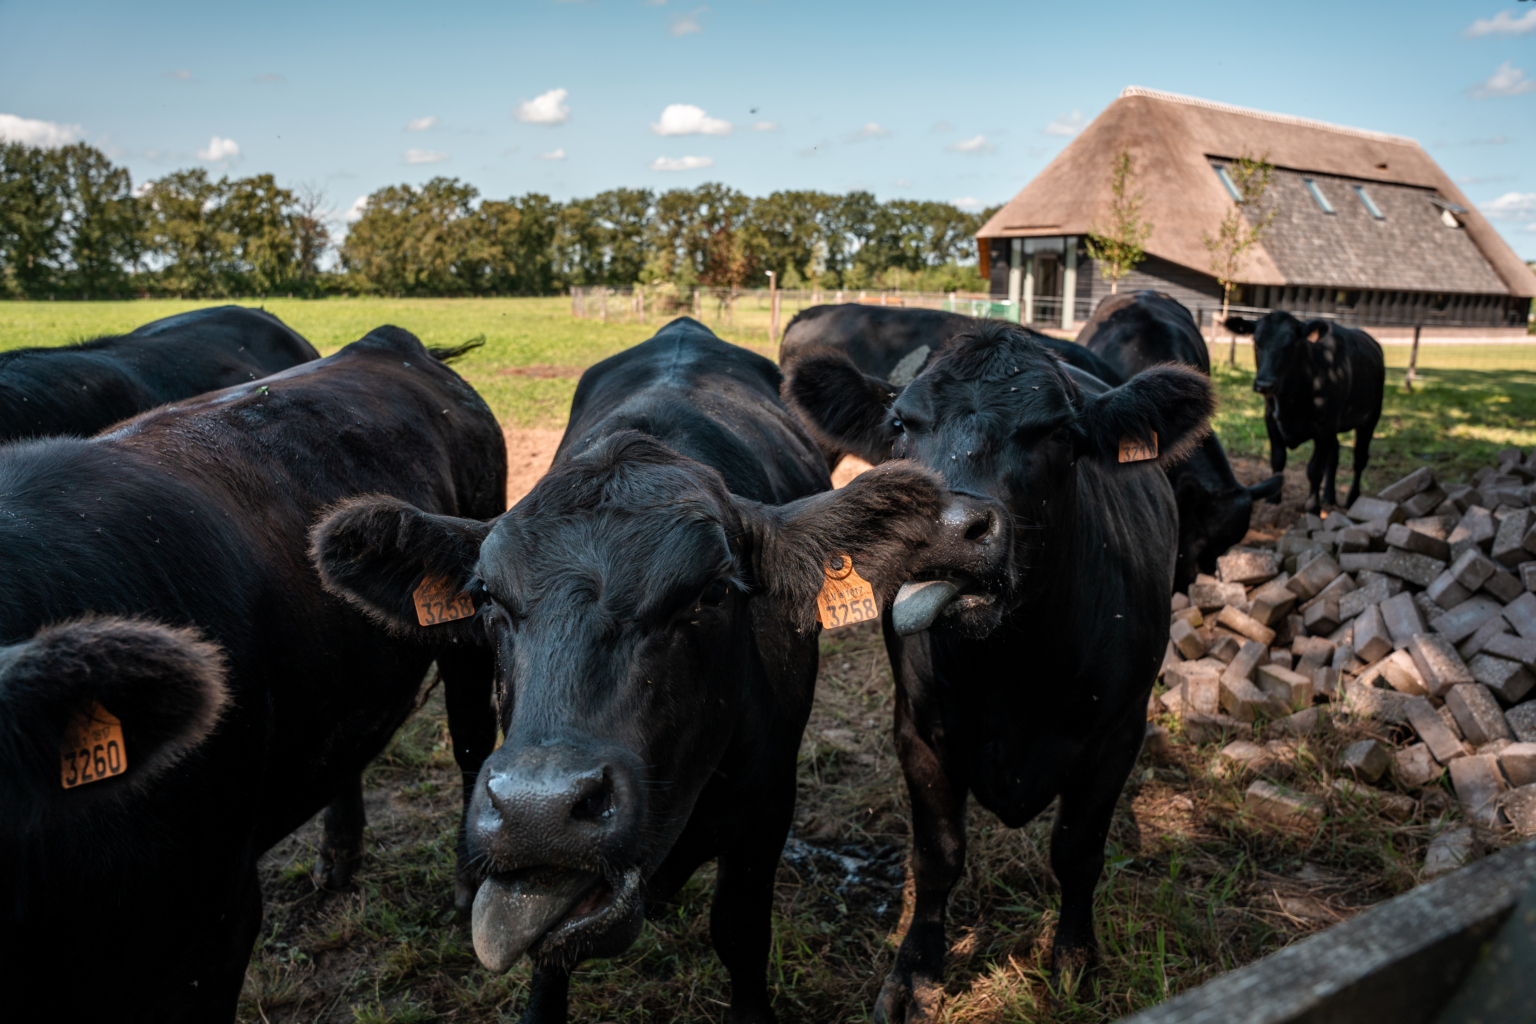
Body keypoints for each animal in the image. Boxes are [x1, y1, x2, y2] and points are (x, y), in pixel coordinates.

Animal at [0, 326, 504, 1021]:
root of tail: (391, 342)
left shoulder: (216, 923)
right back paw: (336, 860)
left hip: (468, 632)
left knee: (470, 741)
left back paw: (464, 885)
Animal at [311, 317, 1005, 1024]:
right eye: (486, 597)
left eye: (713, 593)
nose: (539, 808)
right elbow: (548, 952)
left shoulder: (769, 802)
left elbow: (740, 932)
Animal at [782, 319, 1215, 1023]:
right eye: (900, 425)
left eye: (1061, 434)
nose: (950, 531)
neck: (1009, 676)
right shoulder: (917, 732)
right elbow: (937, 857)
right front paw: (916, 972)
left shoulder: (1119, 733)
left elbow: (1078, 850)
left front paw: (1074, 956)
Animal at [1225, 311, 1385, 511]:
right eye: (1256, 342)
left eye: (1291, 344)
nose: (1264, 384)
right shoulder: (1271, 420)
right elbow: (1278, 460)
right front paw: (1273, 501)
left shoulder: (1325, 427)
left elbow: (1314, 469)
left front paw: (1312, 507)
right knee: (1334, 456)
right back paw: (1329, 497)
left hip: (1370, 418)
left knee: (1359, 459)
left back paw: (1351, 500)